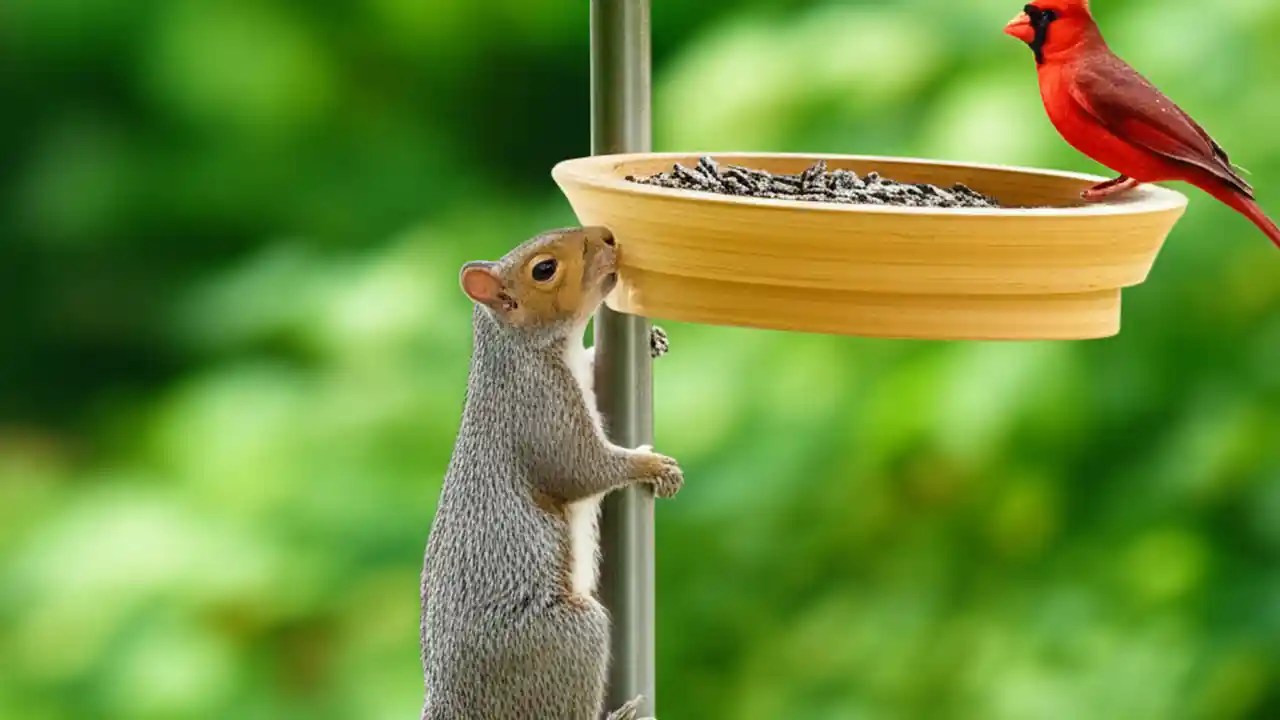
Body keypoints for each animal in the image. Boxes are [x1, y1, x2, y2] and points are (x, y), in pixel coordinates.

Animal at [420, 226, 683, 720]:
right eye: (544, 269)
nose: (608, 235)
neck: (525, 348)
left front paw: (654, 340)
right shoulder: (538, 409)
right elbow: (581, 468)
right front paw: (651, 466)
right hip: (568, 636)